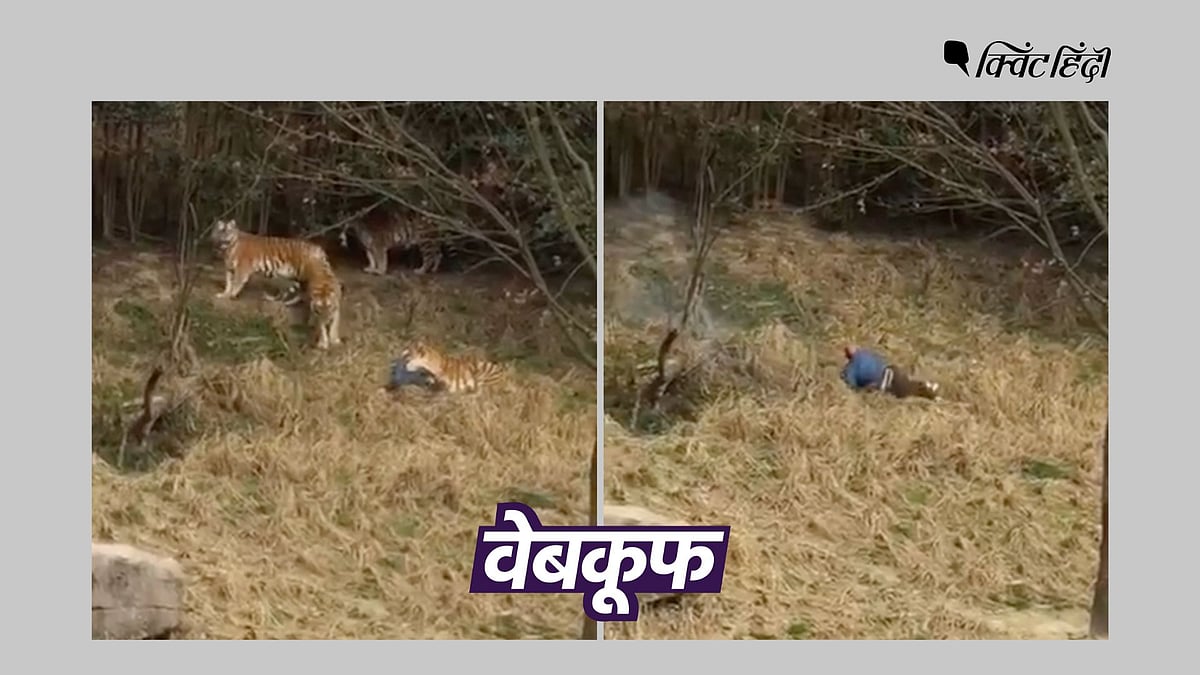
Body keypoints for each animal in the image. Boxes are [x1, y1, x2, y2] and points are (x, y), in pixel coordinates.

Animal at [211, 219, 343, 349]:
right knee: (295, 292)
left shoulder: (242, 268)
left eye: (228, 232)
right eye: (220, 232)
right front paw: (224, 294)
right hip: (294, 278)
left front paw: (231, 295)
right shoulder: (229, 269)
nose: (224, 239)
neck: (228, 249)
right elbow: (228, 283)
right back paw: (279, 301)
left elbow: (236, 283)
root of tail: (317, 248)